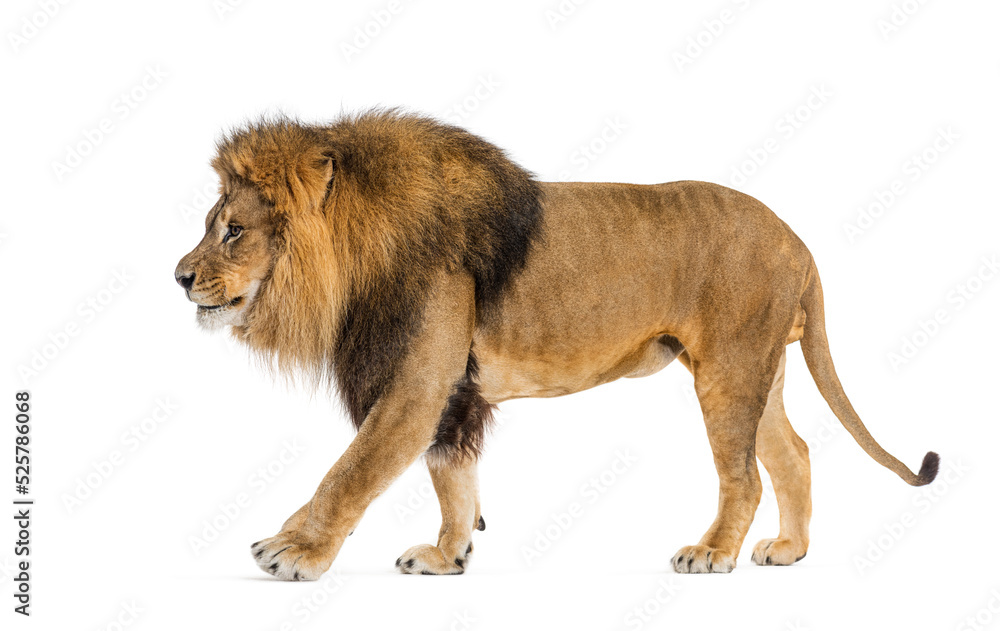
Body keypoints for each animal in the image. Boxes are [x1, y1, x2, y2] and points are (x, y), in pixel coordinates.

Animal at [175, 109, 938, 580]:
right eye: (215, 225)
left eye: (233, 231)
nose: (178, 278)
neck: (361, 257)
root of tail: (797, 238)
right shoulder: (451, 393)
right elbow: (452, 477)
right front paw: (448, 555)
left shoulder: (415, 385)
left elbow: (352, 470)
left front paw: (294, 550)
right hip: (759, 370)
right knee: (793, 452)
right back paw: (789, 551)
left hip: (728, 369)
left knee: (744, 473)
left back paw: (712, 553)